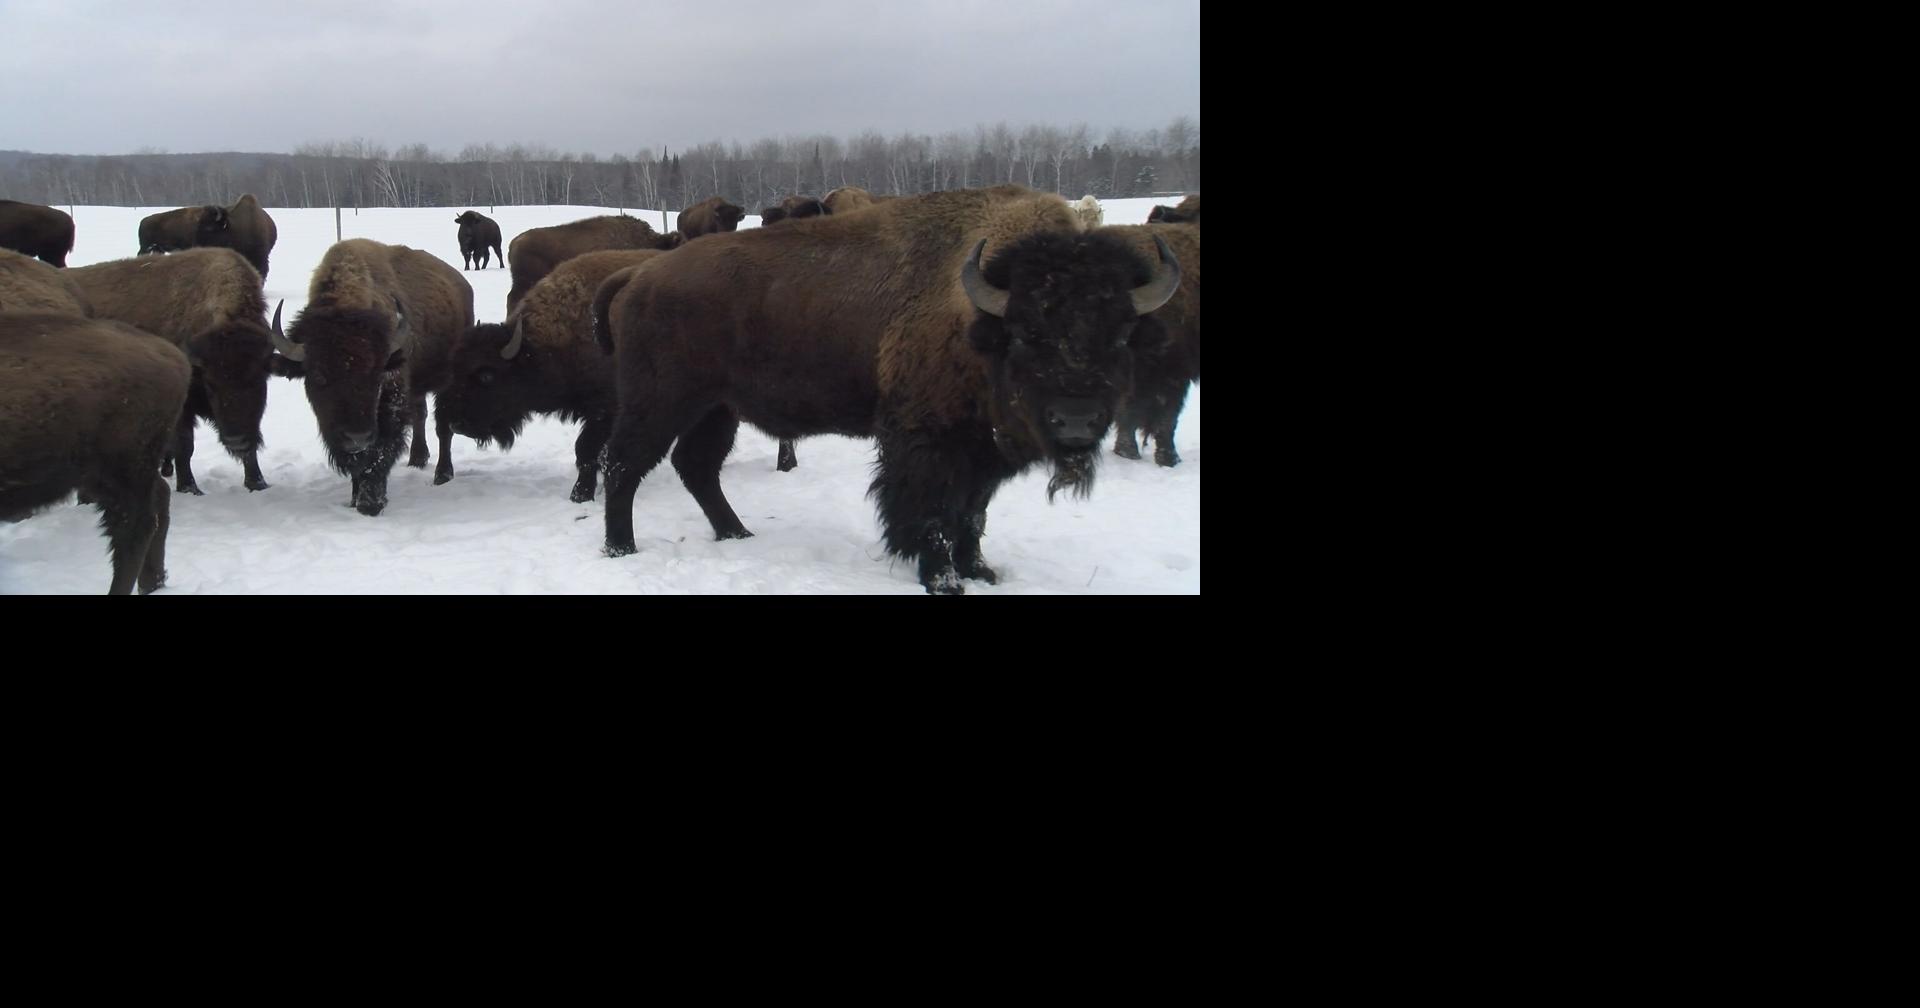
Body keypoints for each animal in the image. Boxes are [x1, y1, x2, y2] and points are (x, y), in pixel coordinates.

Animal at [1, 312, 190, 593]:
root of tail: (172, 355)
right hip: (108, 476)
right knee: (158, 500)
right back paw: (152, 583)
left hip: (120, 472)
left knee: (134, 529)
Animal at [68, 248, 292, 494]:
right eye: (210, 384)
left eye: (258, 380)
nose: (236, 441)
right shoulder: (183, 410)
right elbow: (185, 446)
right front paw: (189, 488)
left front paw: (257, 483)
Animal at [274, 238, 475, 514]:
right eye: (319, 377)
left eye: (376, 376)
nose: (356, 437)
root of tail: (462, 284)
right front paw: (354, 499)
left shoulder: (389, 409)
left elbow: (379, 453)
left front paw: (370, 503)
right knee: (420, 414)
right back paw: (417, 459)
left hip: (447, 381)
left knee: (443, 428)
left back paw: (442, 475)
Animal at [440, 248, 667, 502]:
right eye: (456, 369)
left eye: (487, 376)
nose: (457, 425)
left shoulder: (605, 411)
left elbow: (585, 449)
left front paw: (580, 494)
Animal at [598, 184, 1180, 594]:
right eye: (1024, 332)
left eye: (1121, 332)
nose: (1076, 422)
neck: (978, 315)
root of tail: (641, 275)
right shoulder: (929, 443)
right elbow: (936, 515)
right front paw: (942, 580)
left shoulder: (983, 454)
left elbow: (974, 515)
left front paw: (981, 571)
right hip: (660, 402)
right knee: (624, 463)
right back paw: (621, 549)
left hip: (717, 408)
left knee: (696, 466)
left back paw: (737, 534)